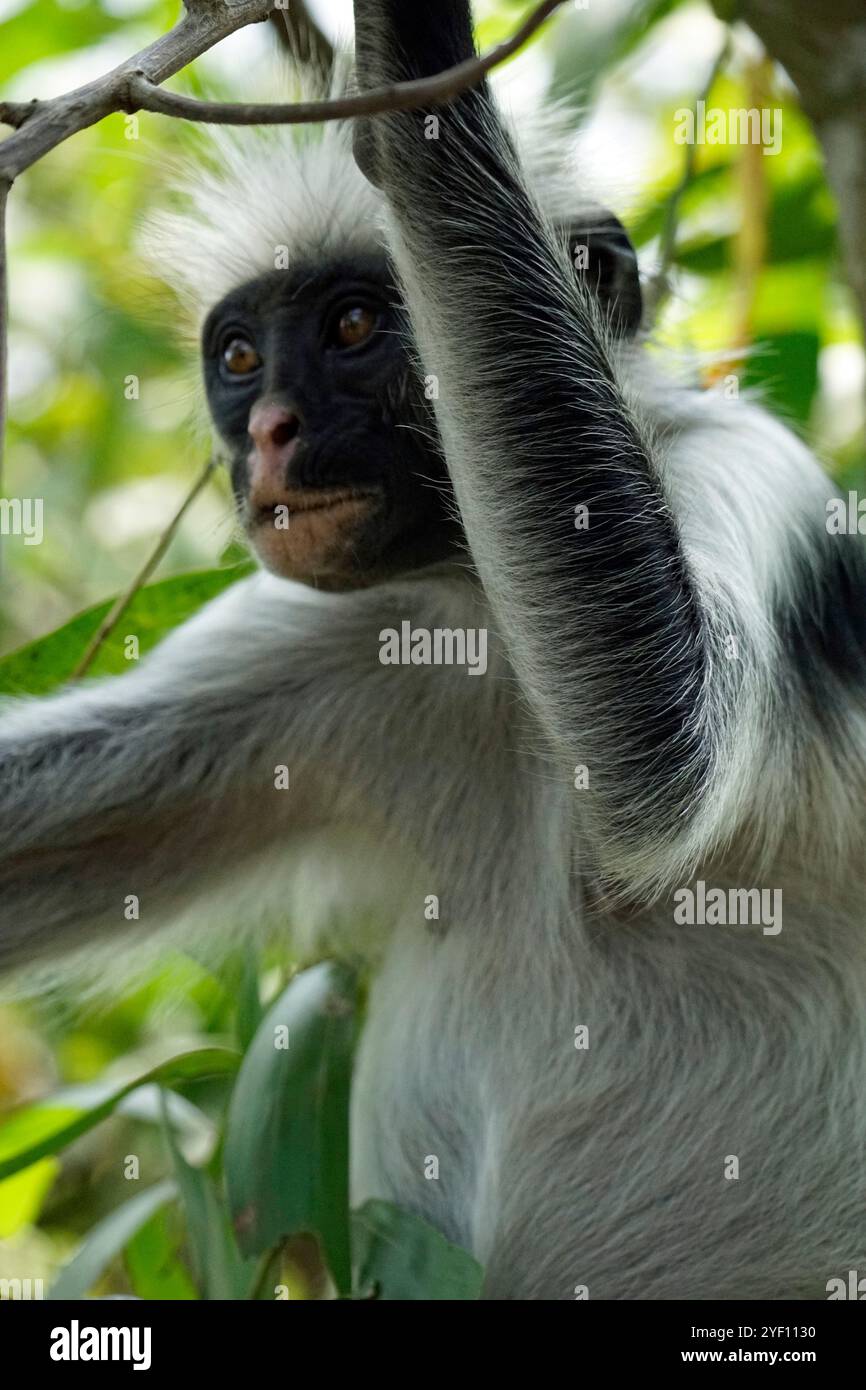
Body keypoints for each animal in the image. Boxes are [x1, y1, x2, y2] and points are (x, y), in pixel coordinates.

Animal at [2, 0, 866, 1299]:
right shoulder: (335, 626)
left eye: (355, 326)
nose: (268, 432)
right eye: (240, 357)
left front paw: (409, 49)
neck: (495, 620)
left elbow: (662, 746)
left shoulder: (740, 474)